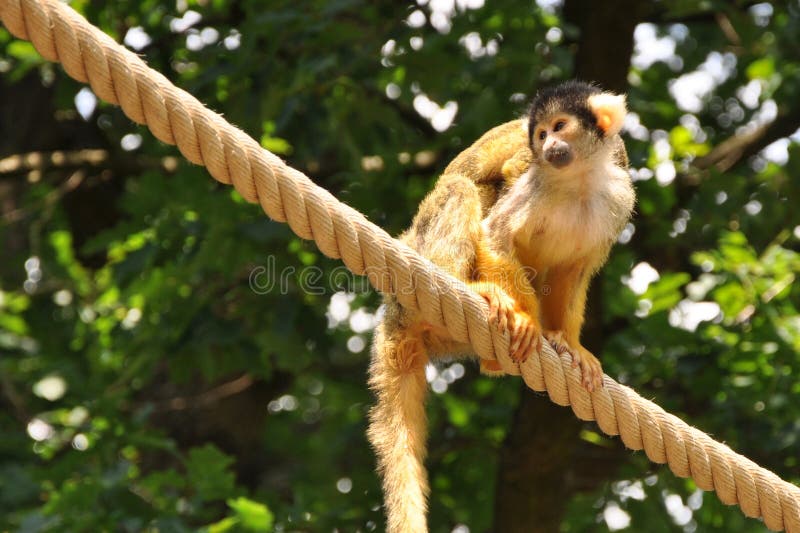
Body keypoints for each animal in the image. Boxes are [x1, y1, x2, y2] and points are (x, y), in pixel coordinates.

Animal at [367, 80, 634, 532]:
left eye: (560, 126)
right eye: (541, 134)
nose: (549, 146)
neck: (579, 180)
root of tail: (393, 311)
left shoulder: (619, 197)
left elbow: (577, 270)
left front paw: (570, 343)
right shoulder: (531, 176)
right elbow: (498, 225)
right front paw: (528, 320)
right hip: (415, 264)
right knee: (463, 187)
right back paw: (475, 288)